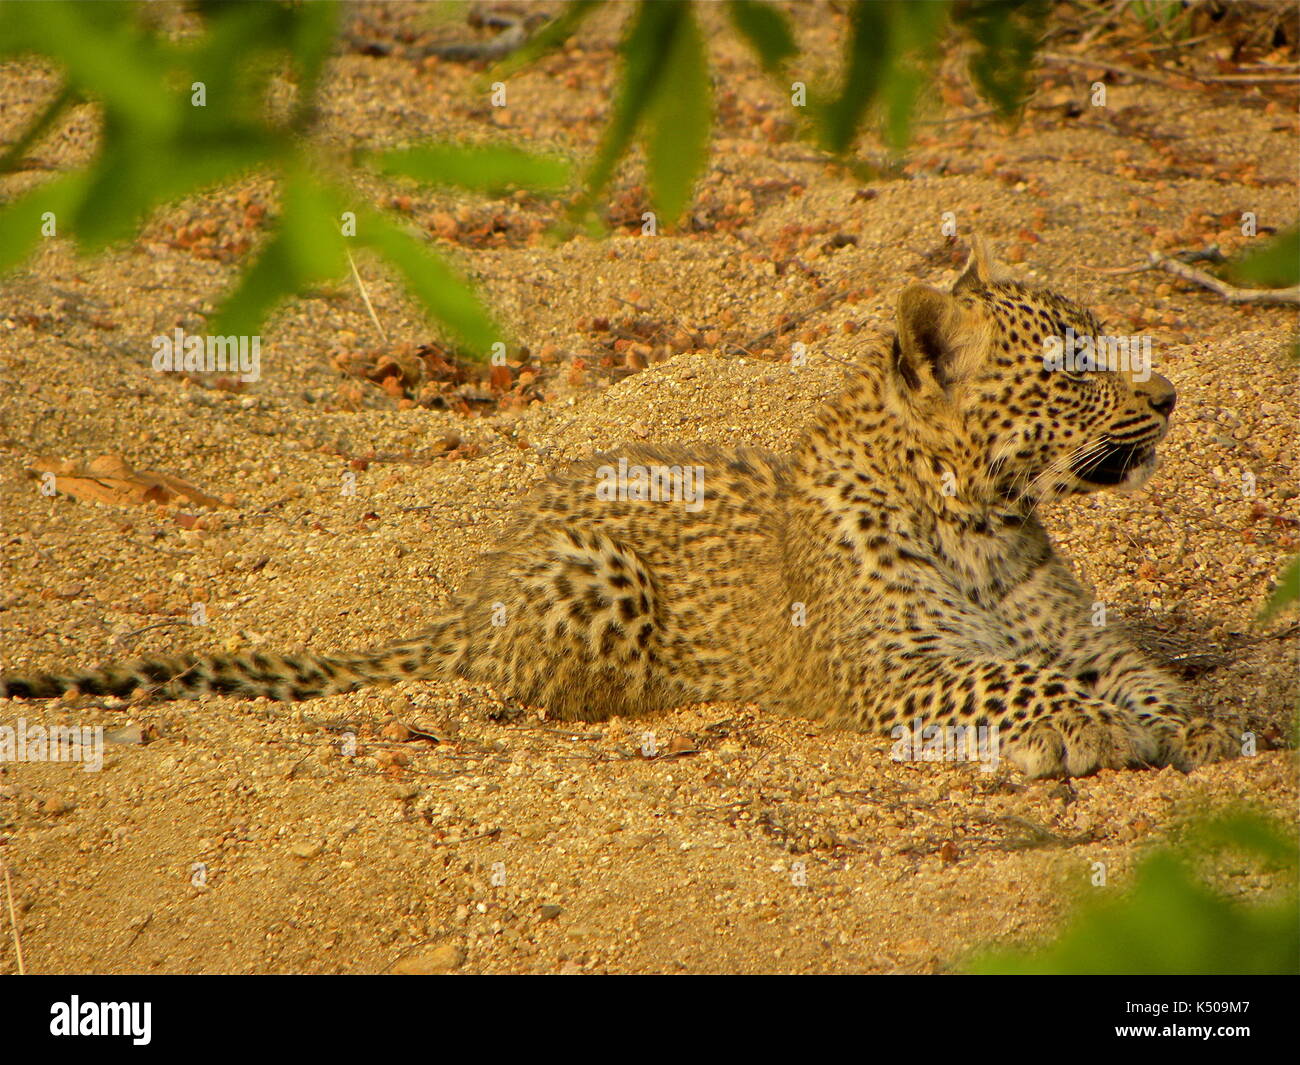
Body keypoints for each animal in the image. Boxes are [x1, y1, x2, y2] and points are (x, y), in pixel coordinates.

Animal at [0, 239, 1239, 779]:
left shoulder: (1080, 635)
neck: (980, 519)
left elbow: (1132, 672)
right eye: (1073, 366)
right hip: (597, 579)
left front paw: (1180, 721)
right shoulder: (895, 668)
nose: (1169, 399)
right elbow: (1007, 676)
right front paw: (1079, 727)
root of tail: (476, 595)